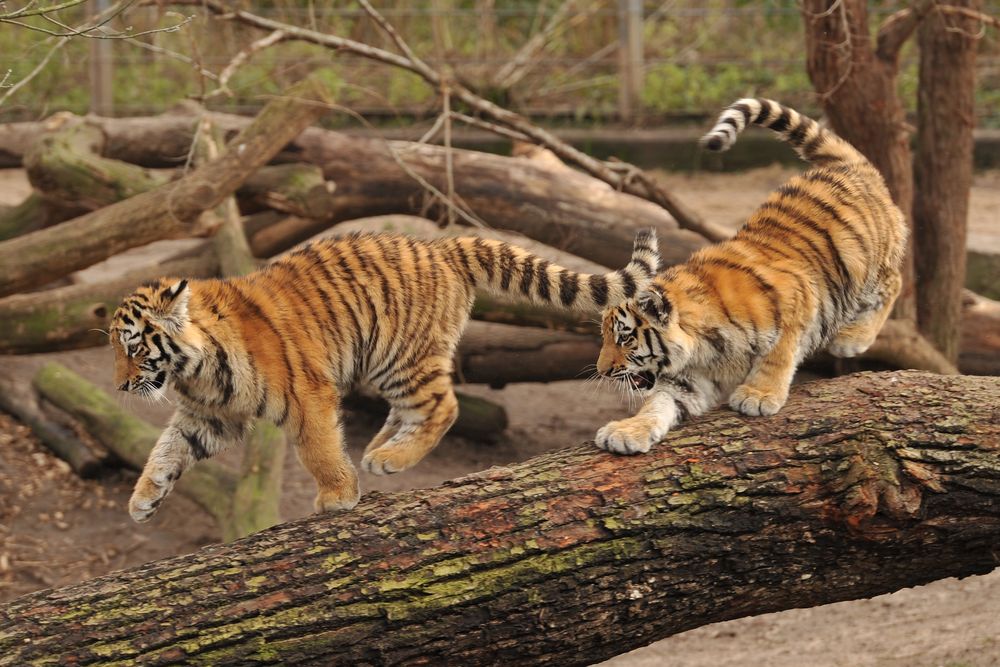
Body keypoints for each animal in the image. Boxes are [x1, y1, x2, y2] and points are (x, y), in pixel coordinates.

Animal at [111, 230, 659, 522]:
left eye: (133, 347)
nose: (119, 385)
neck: (196, 370)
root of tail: (442, 246)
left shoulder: (305, 394)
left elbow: (318, 448)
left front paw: (337, 496)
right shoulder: (208, 416)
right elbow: (166, 451)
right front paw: (143, 500)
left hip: (400, 357)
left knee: (444, 406)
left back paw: (392, 458)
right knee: (412, 411)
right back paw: (380, 452)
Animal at [594, 97, 906, 455]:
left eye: (625, 338)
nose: (602, 371)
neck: (703, 345)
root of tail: (849, 165)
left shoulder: (797, 298)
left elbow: (778, 354)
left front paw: (758, 395)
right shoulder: (686, 379)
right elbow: (658, 403)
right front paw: (627, 431)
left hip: (862, 263)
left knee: (894, 283)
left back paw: (852, 339)